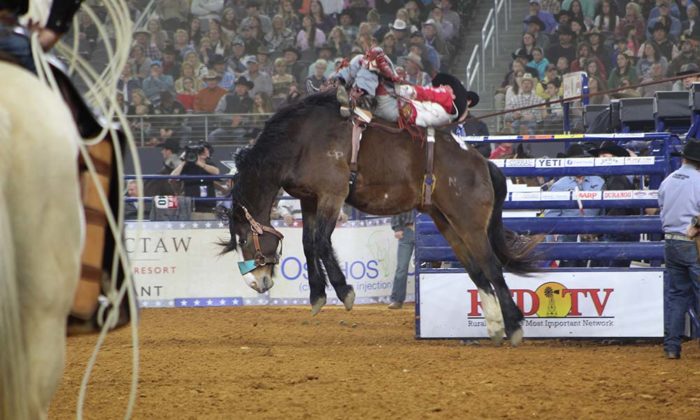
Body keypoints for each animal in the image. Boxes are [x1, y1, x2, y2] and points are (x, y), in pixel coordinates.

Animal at [221, 91, 540, 345]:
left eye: (246, 239)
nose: (255, 283)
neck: (301, 141)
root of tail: (481, 162)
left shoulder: (332, 195)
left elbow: (321, 242)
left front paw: (345, 291)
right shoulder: (310, 200)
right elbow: (309, 244)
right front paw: (317, 296)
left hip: (470, 224)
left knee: (492, 267)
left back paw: (513, 327)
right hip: (447, 221)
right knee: (476, 270)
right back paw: (495, 327)